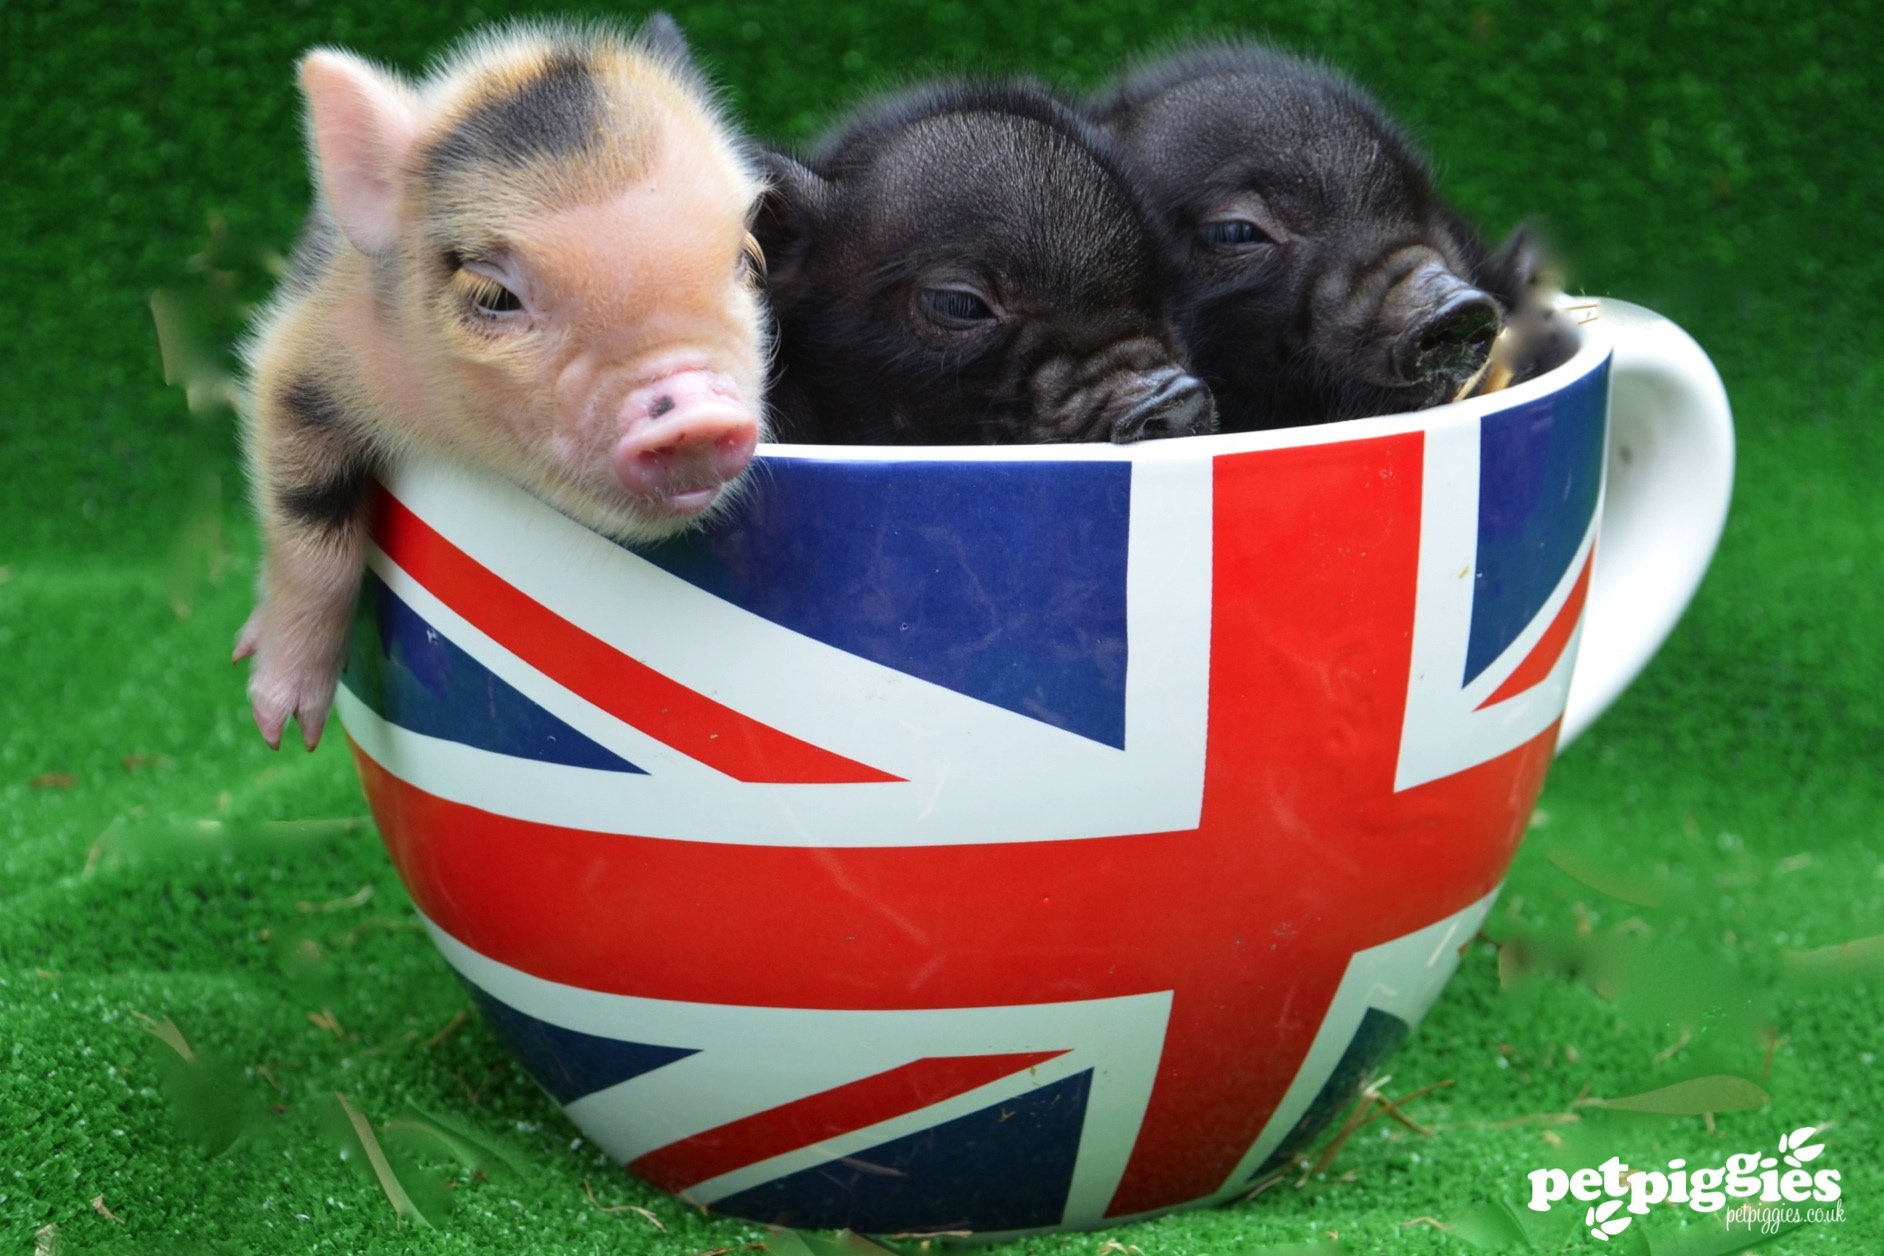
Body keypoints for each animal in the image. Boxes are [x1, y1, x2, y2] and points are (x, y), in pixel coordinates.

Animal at [236, 16, 769, 750]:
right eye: (494, 296)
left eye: (749, 257)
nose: (694, 413)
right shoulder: (300, 359)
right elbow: (309, 524)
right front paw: (281, 729)